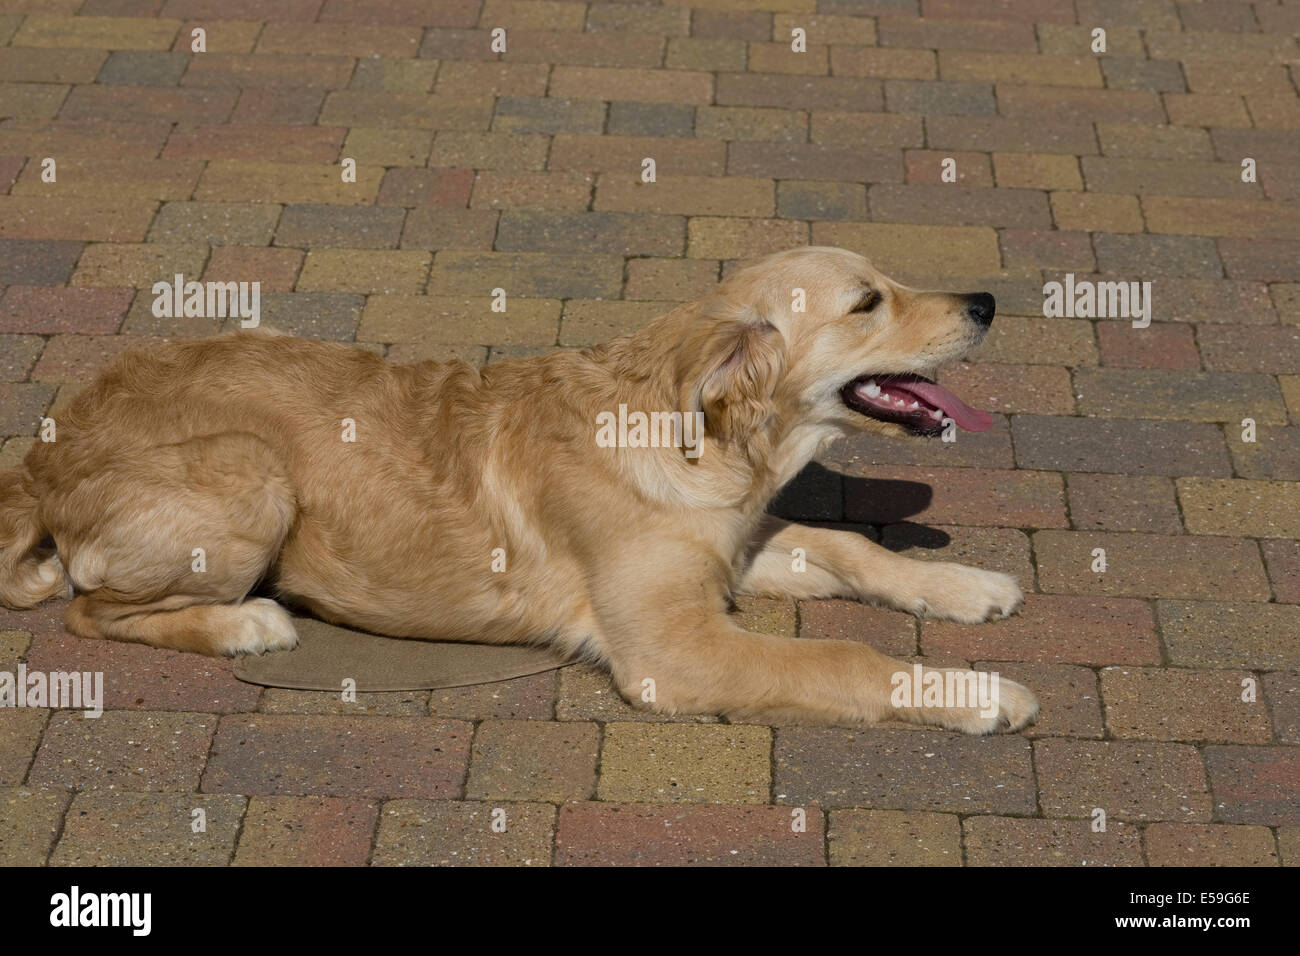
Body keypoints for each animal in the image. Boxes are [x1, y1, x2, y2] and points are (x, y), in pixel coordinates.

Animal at [0, 247, 1034, 733]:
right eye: (868, 303)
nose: (988, 302)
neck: (710, 442)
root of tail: (44, 450)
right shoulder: (674, 650)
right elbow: (843, 661)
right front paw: (977, 690)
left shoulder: (727, 548)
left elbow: (851, 546)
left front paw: (966, 587)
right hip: (251, 471)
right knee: (89, 613)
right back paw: (243, 622)